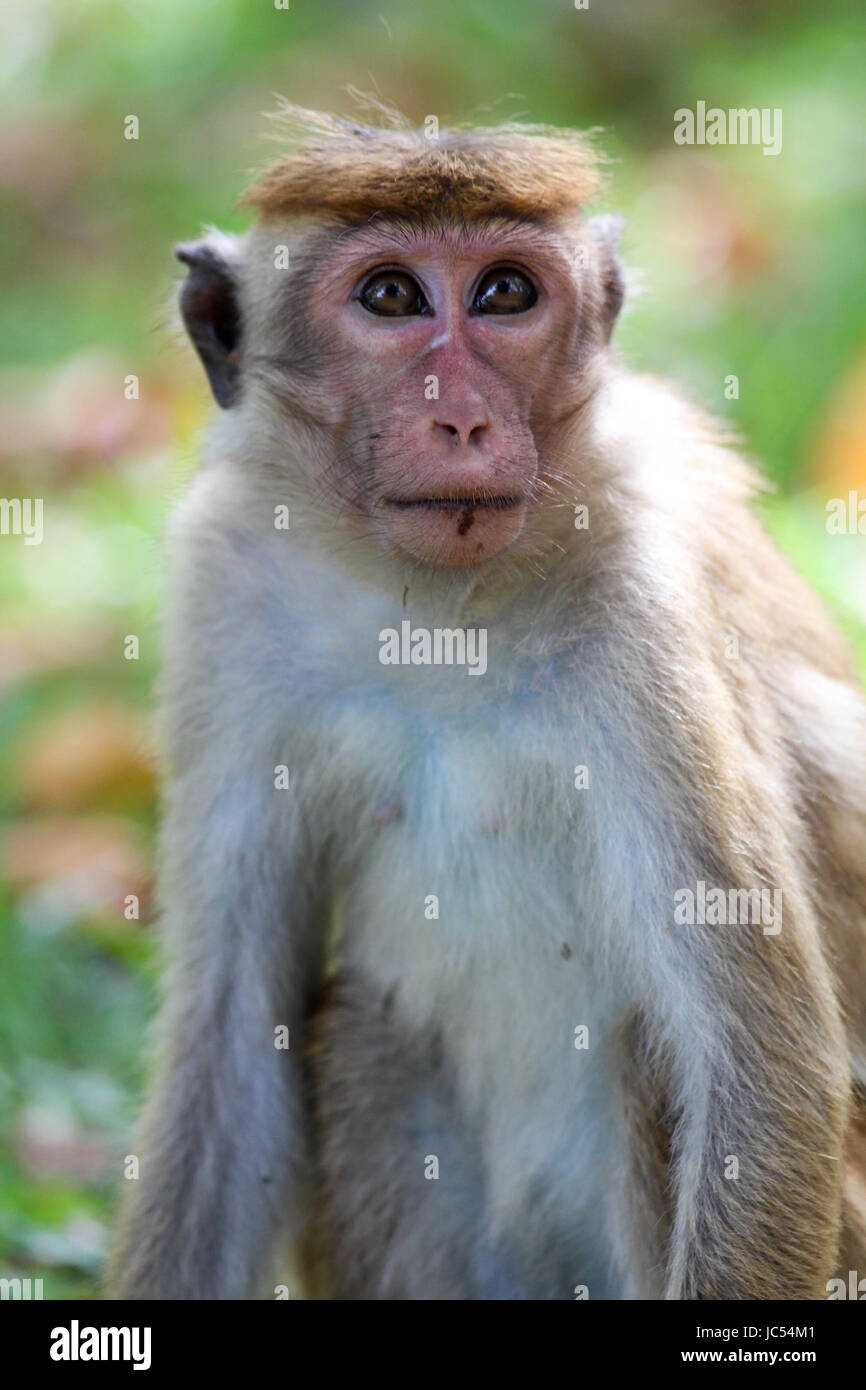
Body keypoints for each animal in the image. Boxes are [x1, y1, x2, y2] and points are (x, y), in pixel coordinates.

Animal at [109, 105, 866, 1301]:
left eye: (507, 293)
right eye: (390, 298)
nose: (462, 420)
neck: (438, 614)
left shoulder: (647, 604)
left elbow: (764, 1067)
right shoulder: (224, 587)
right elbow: (232, 1042)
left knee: (653, 1057)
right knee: (360, 1034)